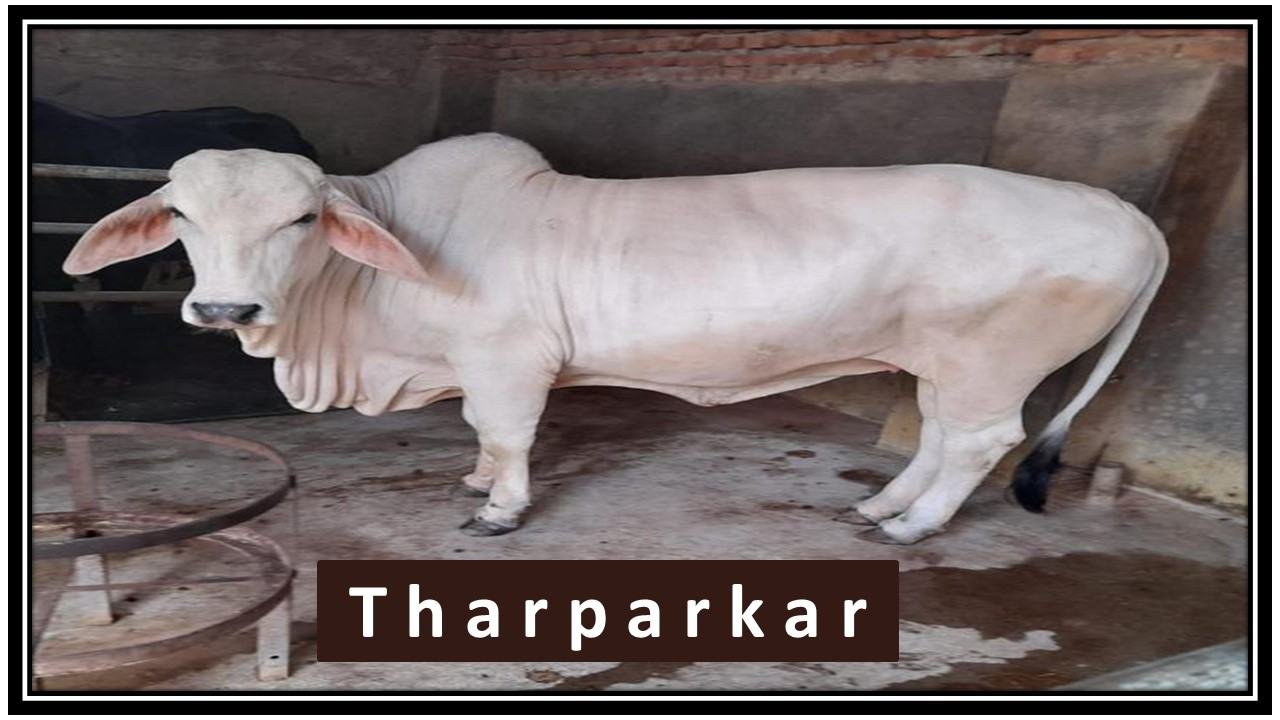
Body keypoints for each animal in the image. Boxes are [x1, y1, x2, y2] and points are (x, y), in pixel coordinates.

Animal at [61, 133, 1168, 545]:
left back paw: (910, 527)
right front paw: (475, 480)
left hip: (991, 362)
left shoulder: (506, 361)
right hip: (944, 362)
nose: (224, 312)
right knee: (940, 436)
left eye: (299, 219)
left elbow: (506, 434)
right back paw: (884, 505)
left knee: (979, 443)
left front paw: (499, 508)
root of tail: (1129, 214)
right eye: (183, 215)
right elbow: (479, 438)